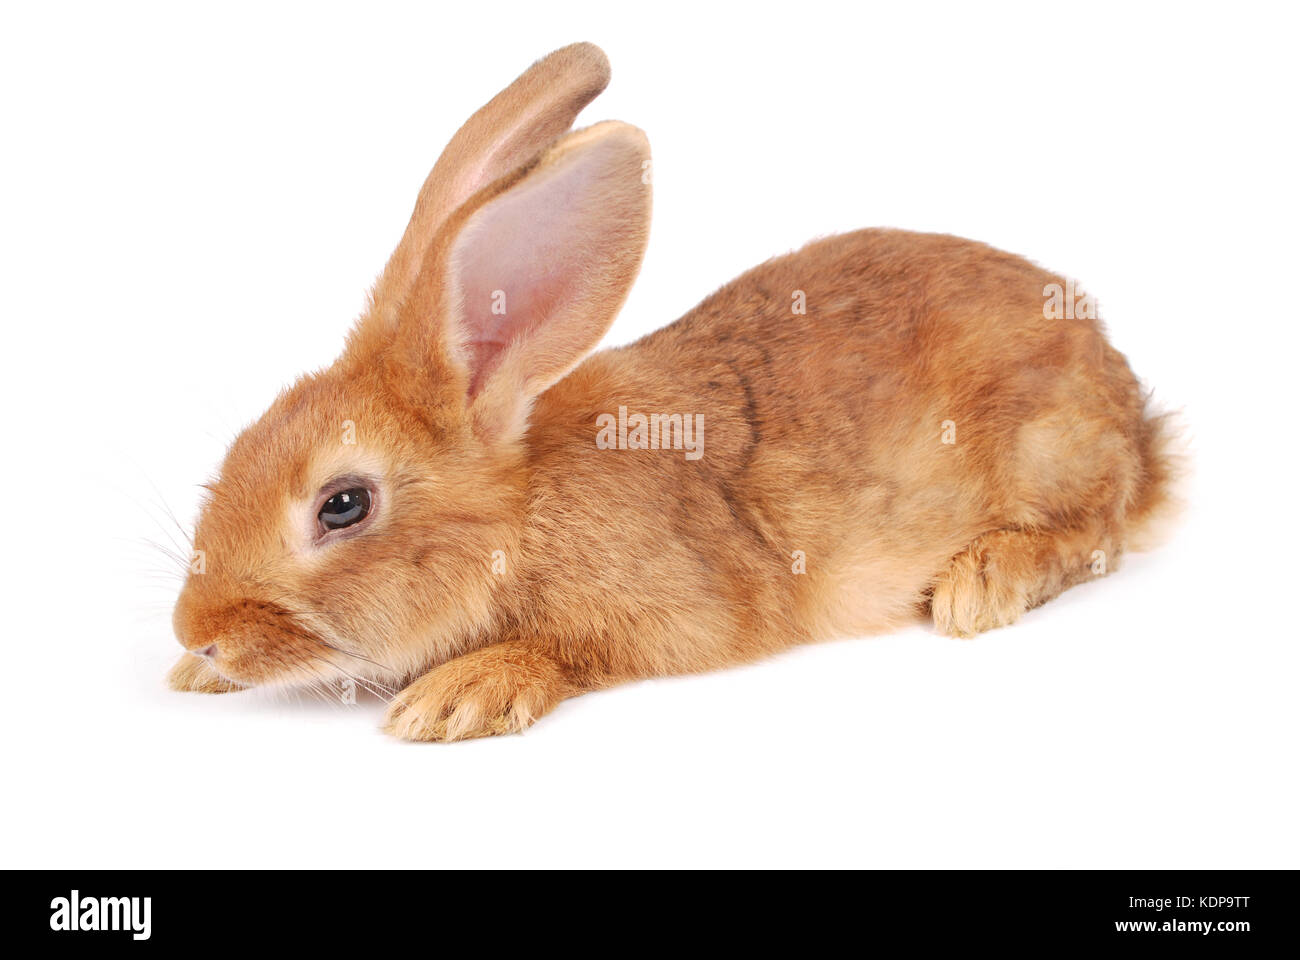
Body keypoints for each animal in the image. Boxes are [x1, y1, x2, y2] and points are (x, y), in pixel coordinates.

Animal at [168, 42, 1179, 740]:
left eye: (343, 505)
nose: (196, 632)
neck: (523, 512)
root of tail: (1134, 410)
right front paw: (197, 680)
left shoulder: (672, 617)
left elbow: (568, 652)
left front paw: (459, 697)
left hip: (1050, 447)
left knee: (1093, 530)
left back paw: (984, 580)